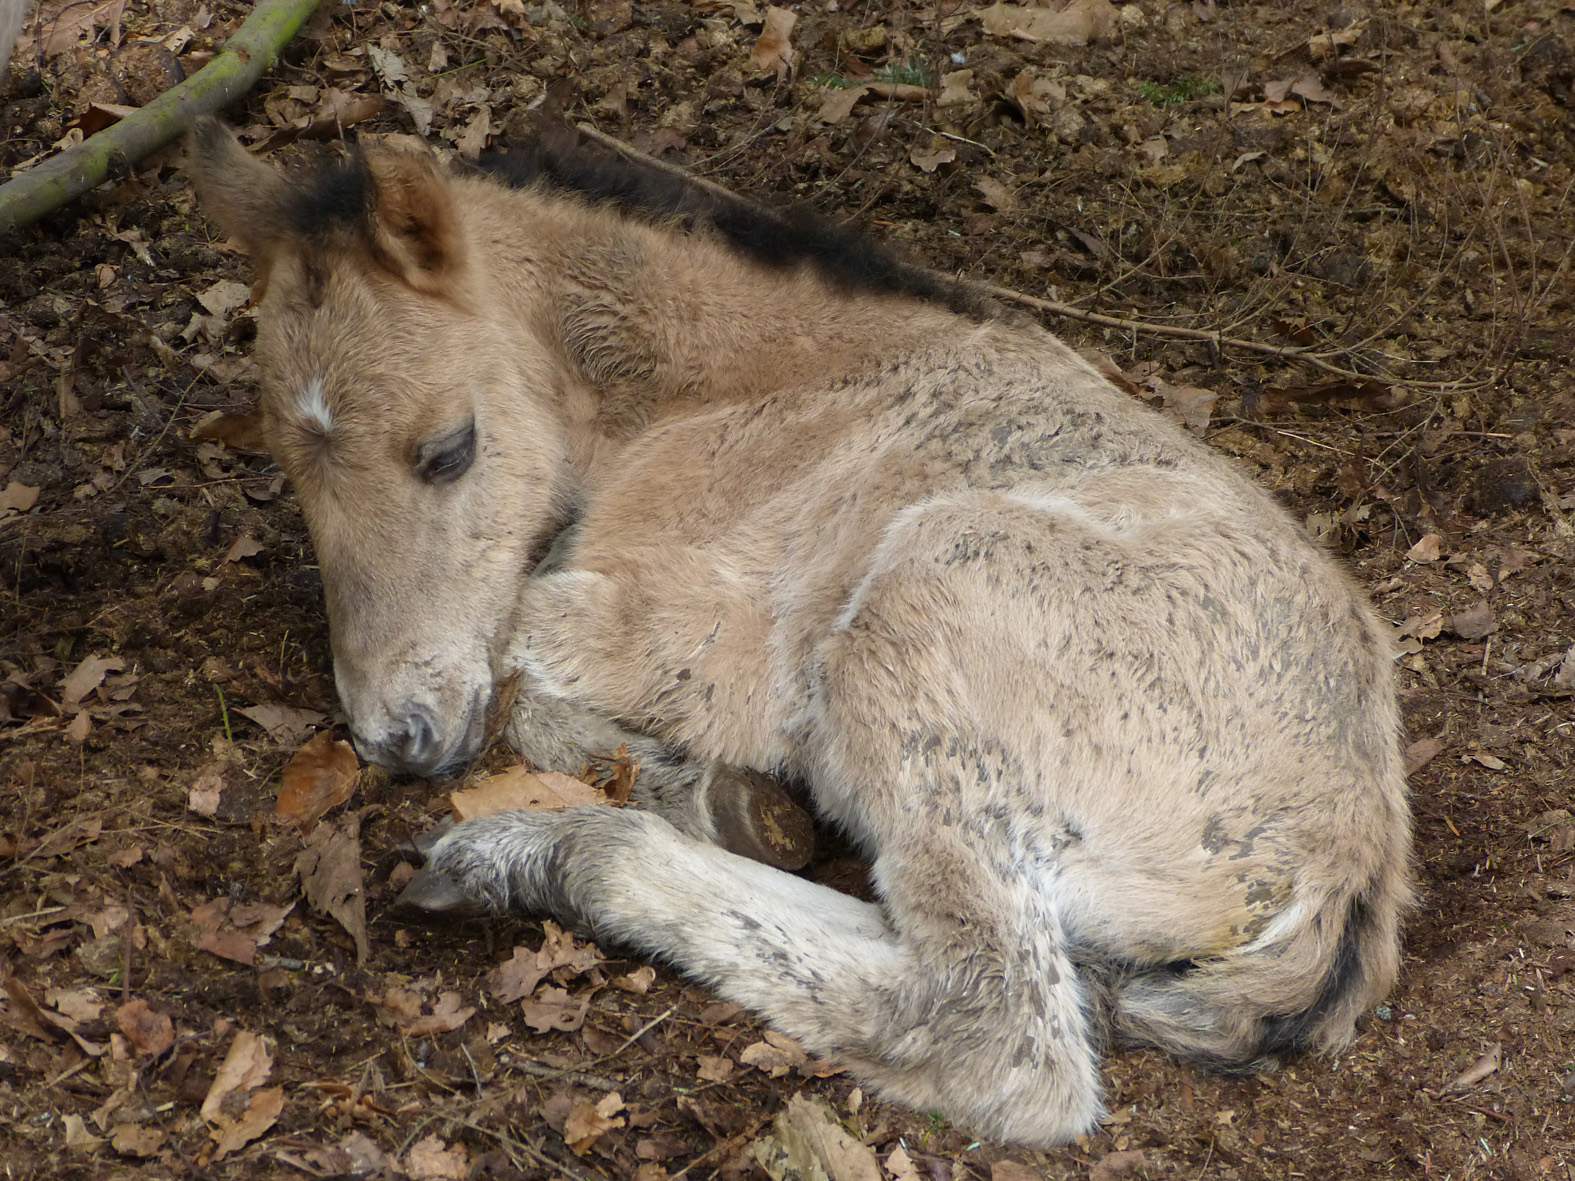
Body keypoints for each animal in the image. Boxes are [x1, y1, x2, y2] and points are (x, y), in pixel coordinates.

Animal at [186, 117, 1412, 1147]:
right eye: (287, 468)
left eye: (448, 448)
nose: (395, 736)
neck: (731, 383)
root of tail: (1347, 863)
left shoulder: (712, 634)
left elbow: (519, 659)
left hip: (922, 604)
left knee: (997, 1031)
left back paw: (549, 851)